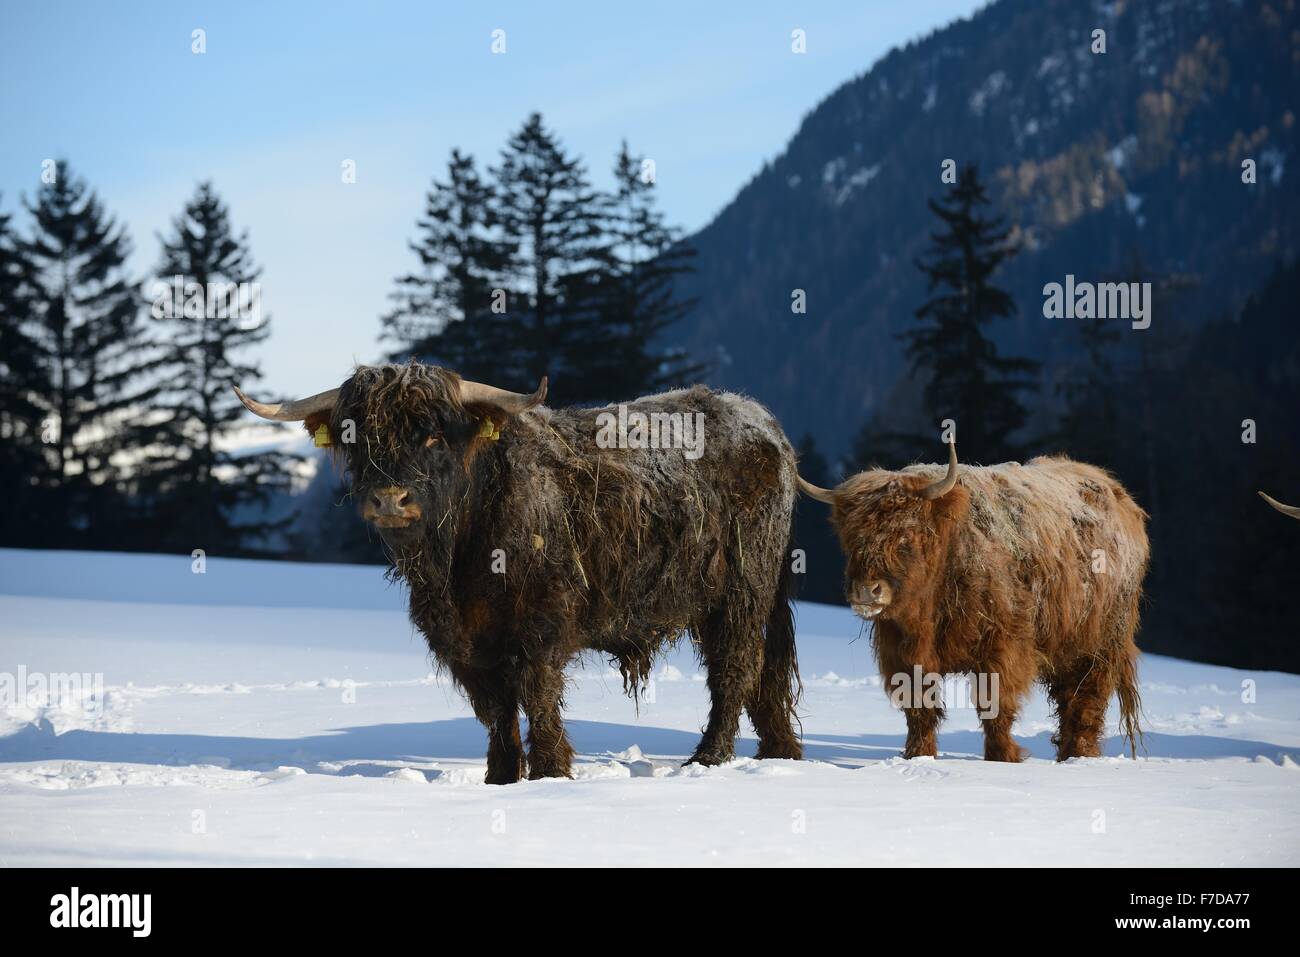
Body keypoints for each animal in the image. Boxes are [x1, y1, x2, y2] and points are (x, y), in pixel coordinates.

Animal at [235, 362, 802, 784]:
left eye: (435, 436)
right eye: (360, 438)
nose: (390, 500)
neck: (458, 559)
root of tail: (759, 419)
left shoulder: (542, 621)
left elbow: (537, 694)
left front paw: (550, 773)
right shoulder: (463, 640)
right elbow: (496, 708)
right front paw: (502, 777)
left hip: (742, 590)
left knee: (735, 668)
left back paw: (707, 759)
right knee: (759, 674)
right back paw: (779, 752)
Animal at [798, 440, 1148, 762]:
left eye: (906, 535)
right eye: (852, 537)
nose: (867, 591)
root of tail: (1116, 493)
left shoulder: (1003, 647)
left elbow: (995, 705)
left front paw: (1002, 757)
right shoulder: (902, 652)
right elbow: (919, 708)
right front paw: (918, 756)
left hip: (1101, 644)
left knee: (1087, 700)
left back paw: (1080, 755)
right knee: (1069, 698)